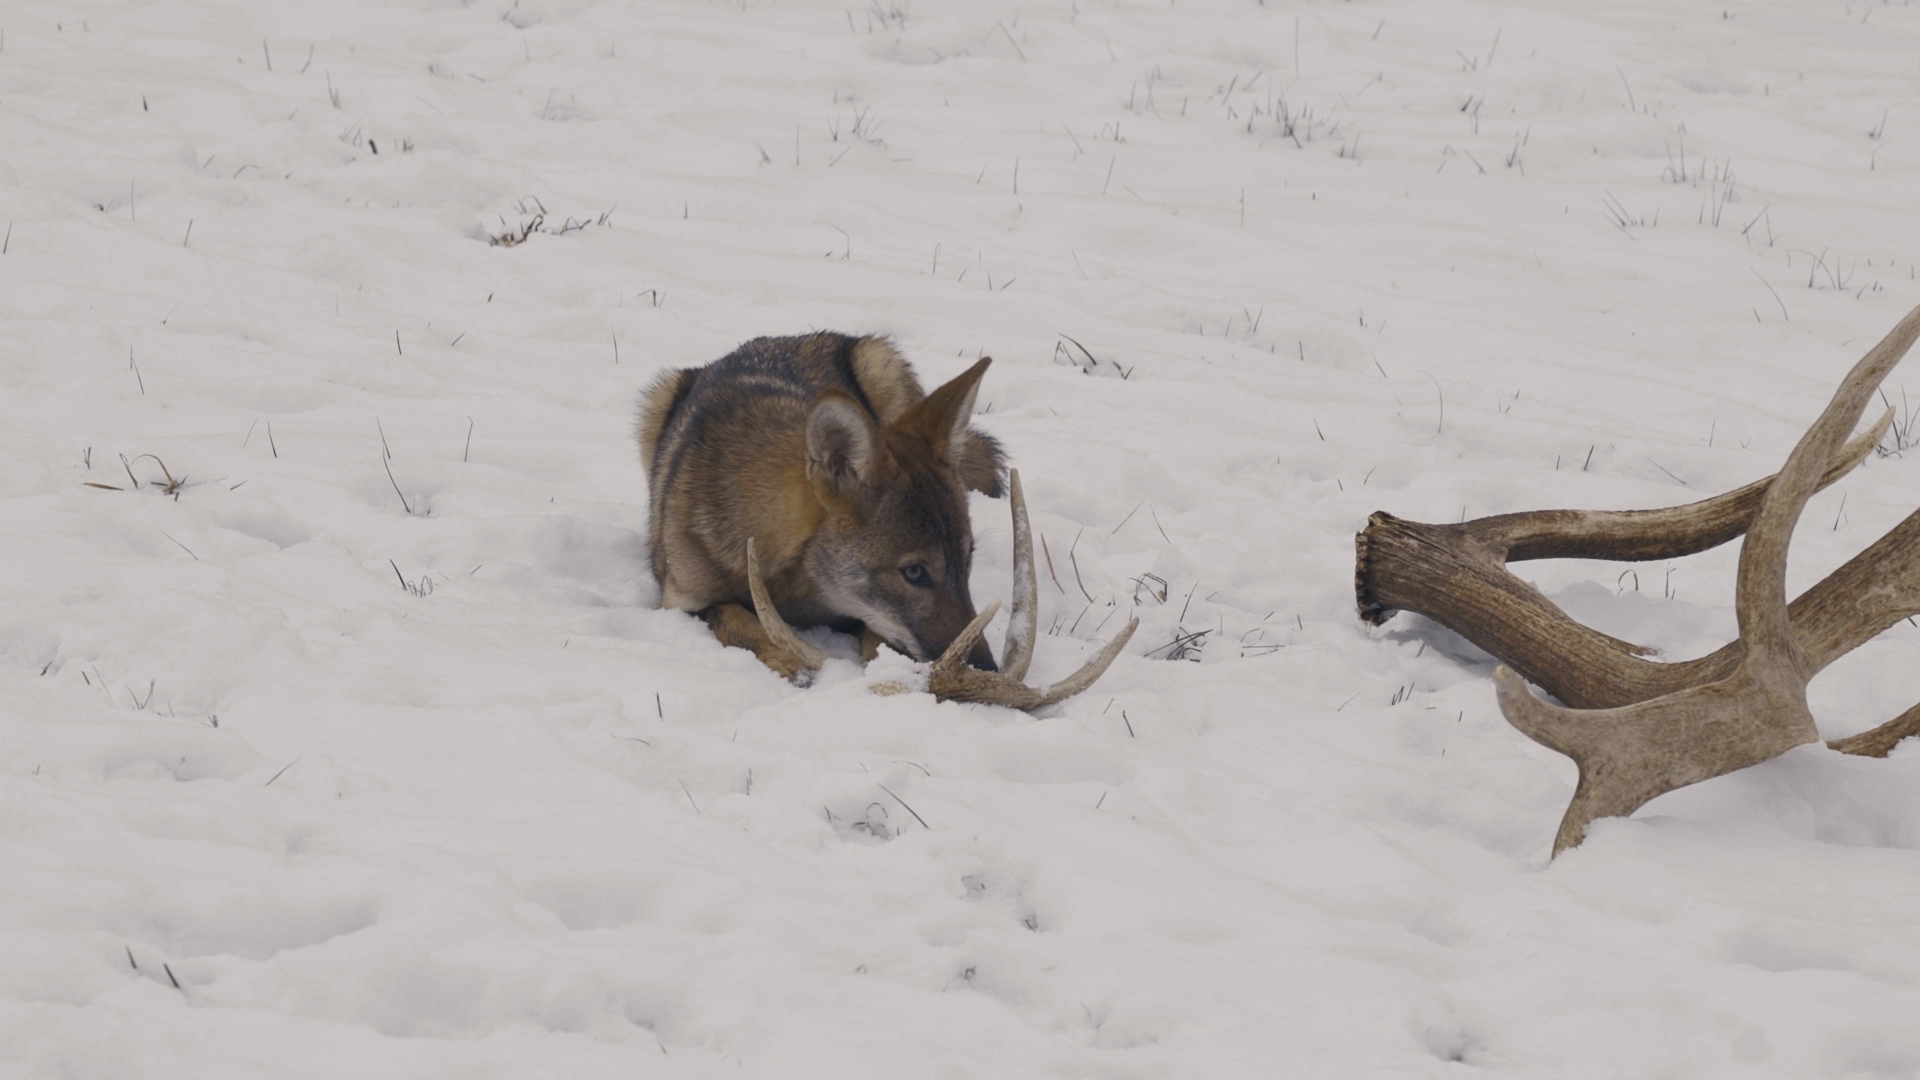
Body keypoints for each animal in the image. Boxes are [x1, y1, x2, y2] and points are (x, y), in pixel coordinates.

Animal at [637, 332, 1007, 681]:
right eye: (915, 572)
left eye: (968, 559)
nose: (988, 668)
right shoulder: (681, 603)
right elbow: (735, 617)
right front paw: (785, 662)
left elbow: (879, 637)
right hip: (655, 401)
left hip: (879, 362)